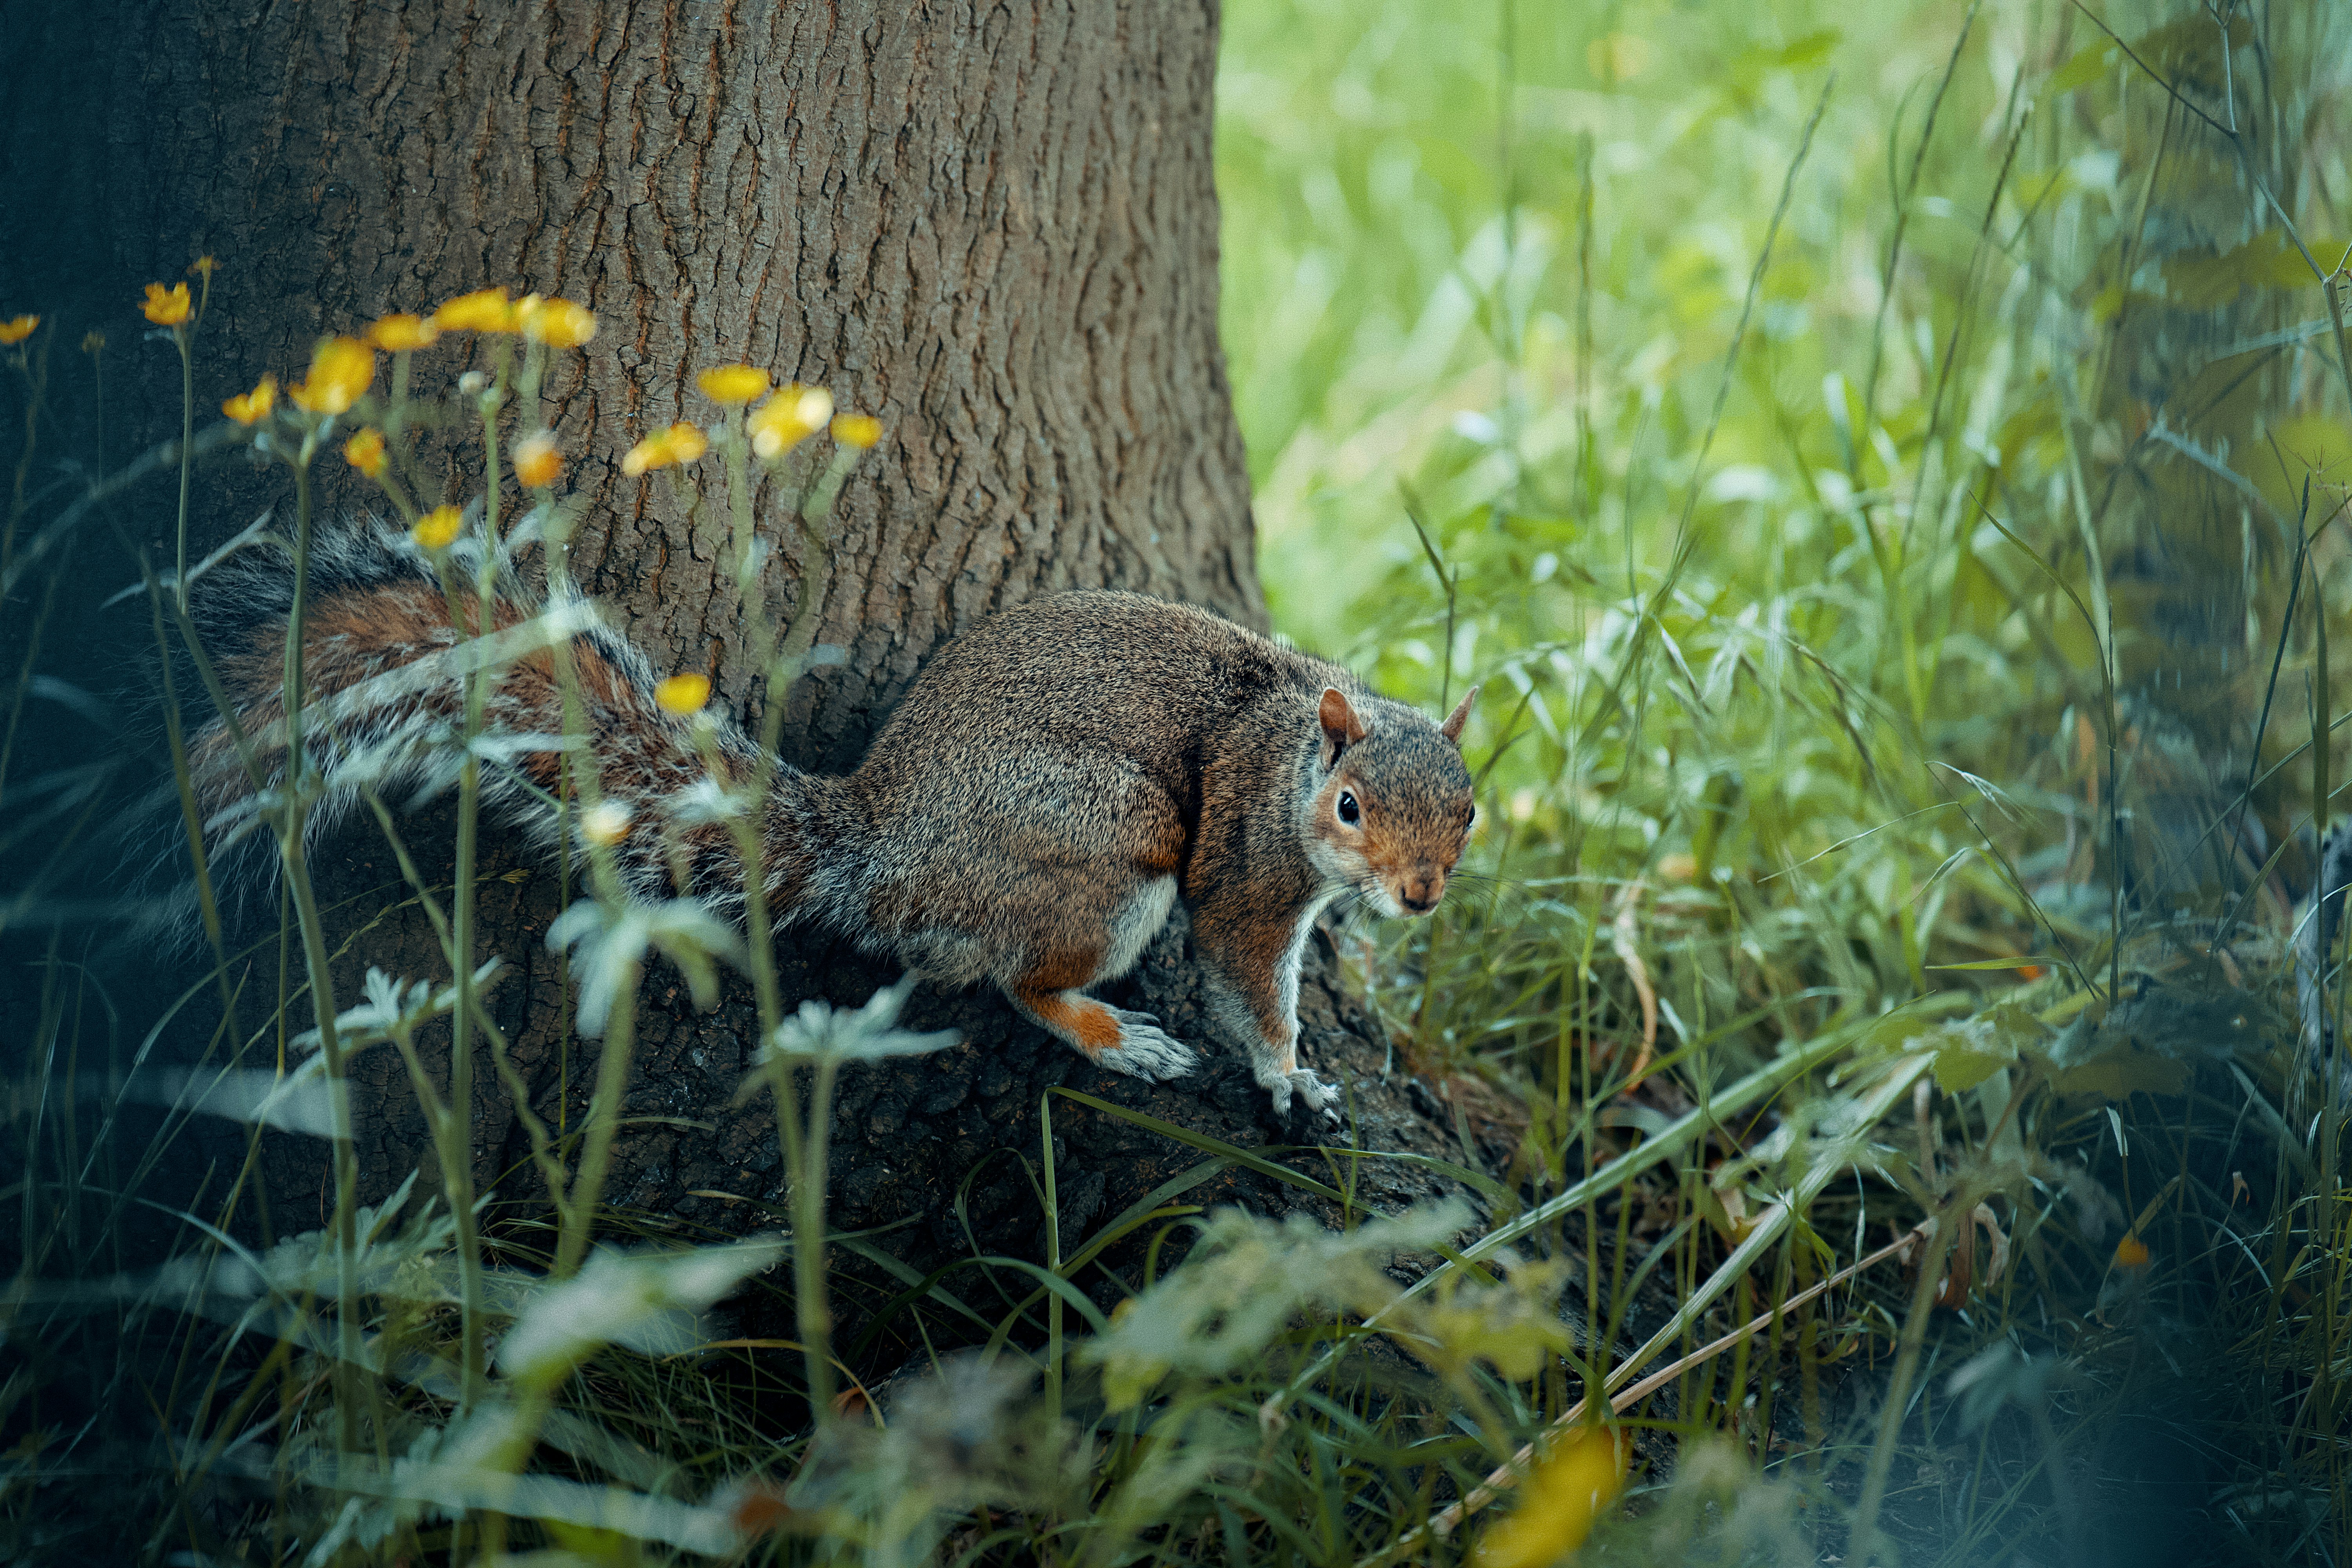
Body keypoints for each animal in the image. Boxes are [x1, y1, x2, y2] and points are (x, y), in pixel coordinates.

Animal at [186, 519, 1478, 1121]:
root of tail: (878, 843)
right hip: (1109, 862)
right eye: (1350, 805)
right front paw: (1289, 1078)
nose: (1420, 898)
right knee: (1016, 979)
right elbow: (1248, 980)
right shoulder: (1245, 872)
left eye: (1468, 810)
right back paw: (1111, 1032)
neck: (1302, 741)